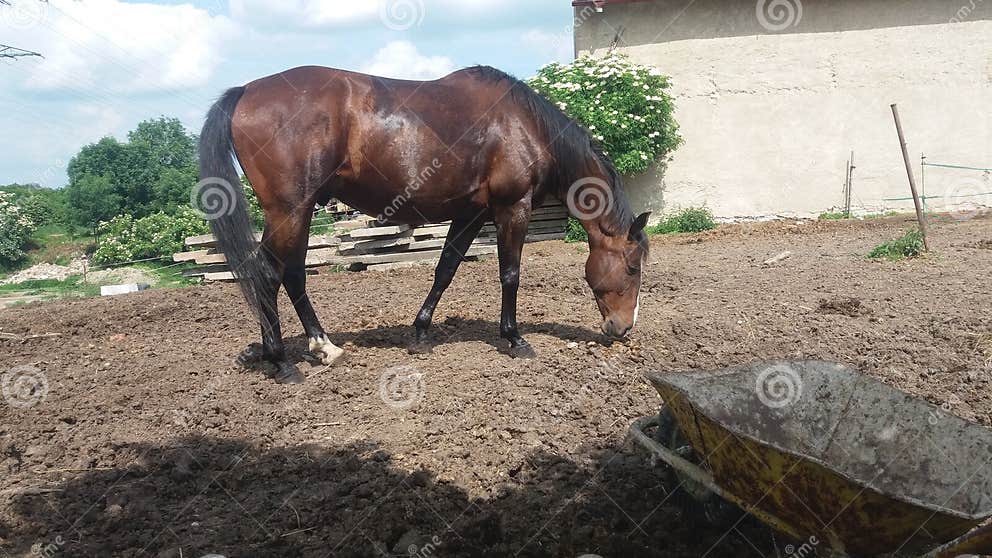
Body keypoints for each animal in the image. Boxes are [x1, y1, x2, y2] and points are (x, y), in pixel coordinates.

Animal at [197, 65, 650, 384]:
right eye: (632, 267)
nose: (623, 328)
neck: (524, 125)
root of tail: (246, 90)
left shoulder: (471, 214)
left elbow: (445, 269)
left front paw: (420, 334)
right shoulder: (512, 208)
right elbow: (510, 273)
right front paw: (515, 338)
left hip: (300, 212)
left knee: (291, 275)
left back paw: (324, 347)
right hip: (289, 210)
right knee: (267, 275)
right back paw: (281, 362)